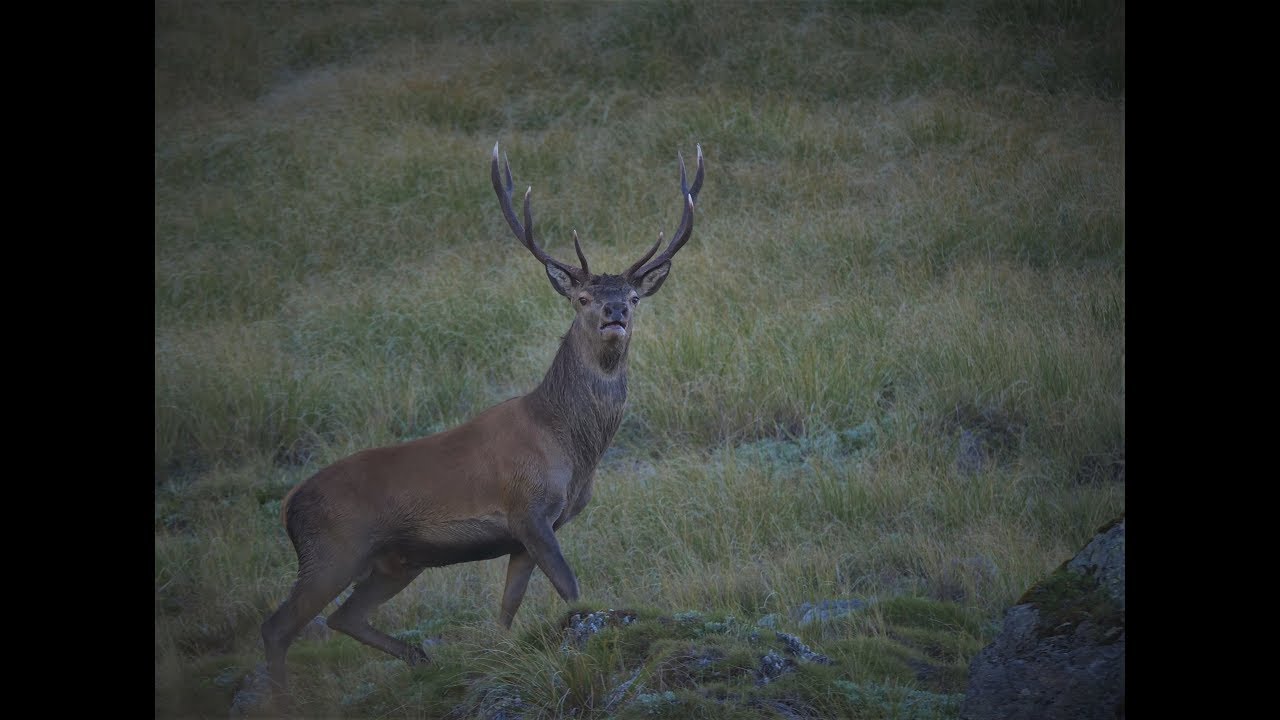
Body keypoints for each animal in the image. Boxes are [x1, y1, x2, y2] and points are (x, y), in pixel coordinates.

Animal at [260, 141, 704, 704]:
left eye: (633, 296)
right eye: (582, 297)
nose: (613, 314)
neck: (570, 445)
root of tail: (288, 504)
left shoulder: (526, 534)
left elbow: (508, 609)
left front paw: (500, 655)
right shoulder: (527, 509)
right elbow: (570, 589)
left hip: (393, 561)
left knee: (343, 617)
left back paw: (421, 658)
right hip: (332, 548)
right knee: (279, 625)